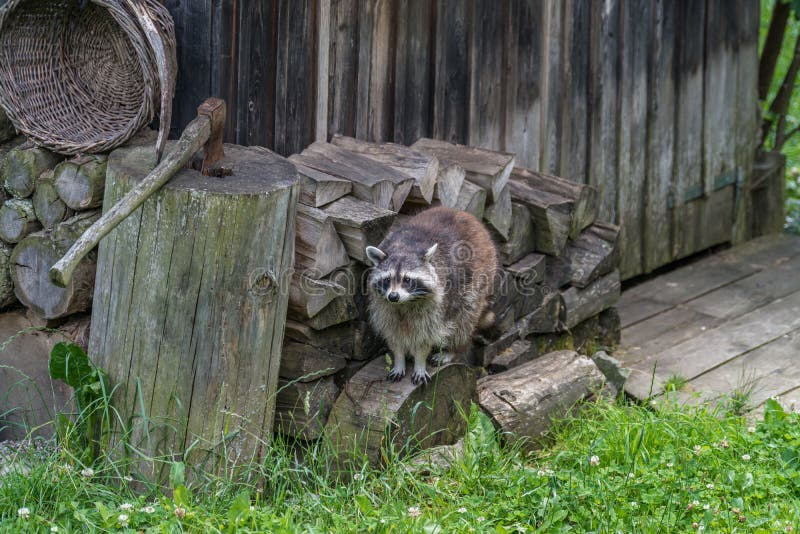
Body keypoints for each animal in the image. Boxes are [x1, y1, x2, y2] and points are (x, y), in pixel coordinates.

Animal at [365, 206, 498, 385]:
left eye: (407, 280)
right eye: (387, 279)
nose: (393, 296)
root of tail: (464, 214)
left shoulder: (436, 304)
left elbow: (426, 334)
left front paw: (420, 362)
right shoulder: (384, 305)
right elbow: (393, 331)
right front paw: (399, 359)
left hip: (482, 273)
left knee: (465, 318)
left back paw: (453, 349)